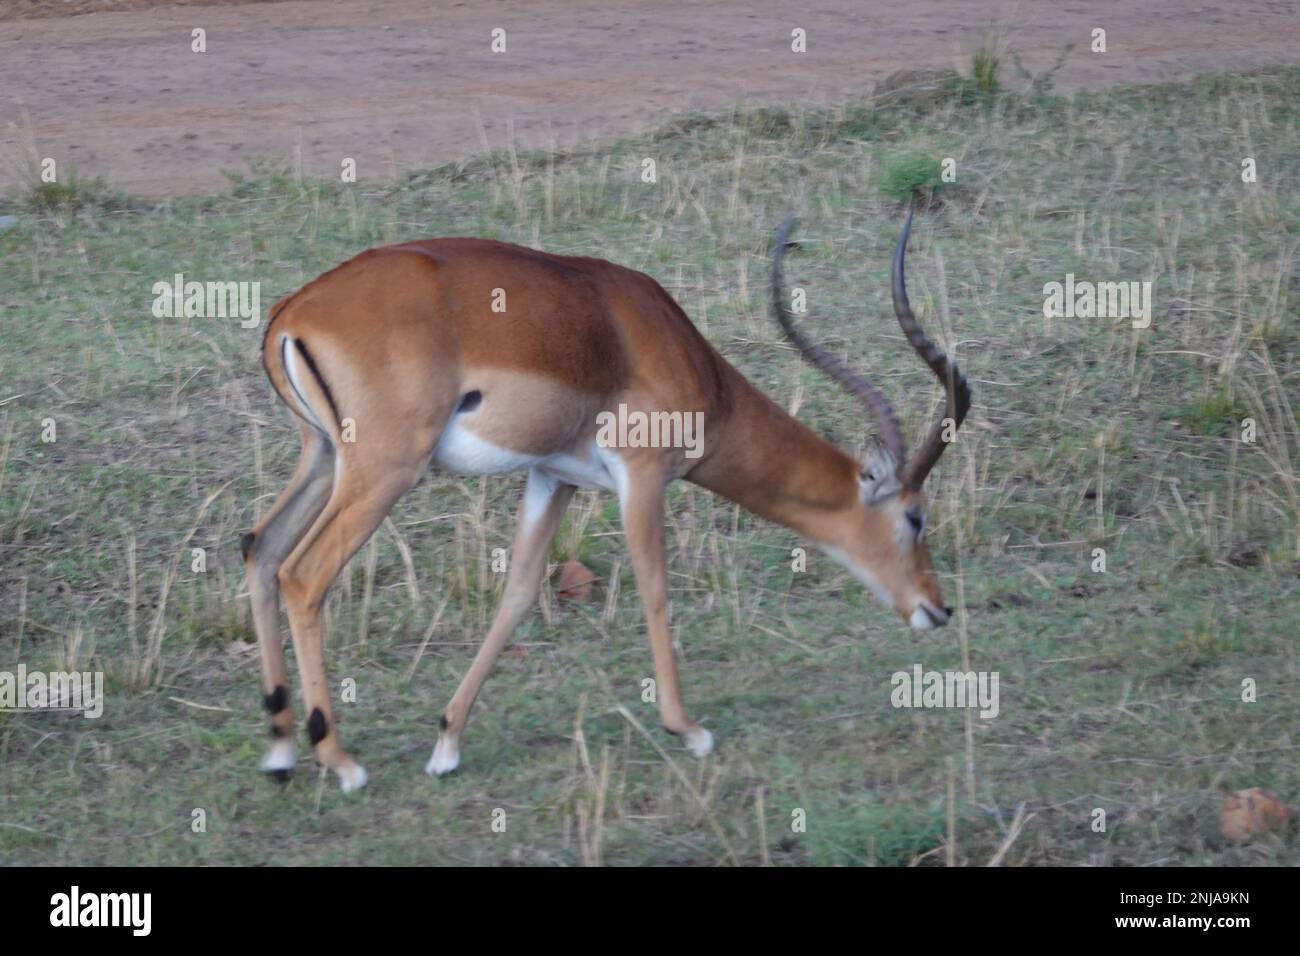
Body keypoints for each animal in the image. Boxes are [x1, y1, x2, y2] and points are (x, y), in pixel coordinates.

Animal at [241, 206, 970, 792]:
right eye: (914, 517)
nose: (938, 609)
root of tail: (292, 313)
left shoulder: (553, 476)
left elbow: (519, 592)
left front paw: (447, 742)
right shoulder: (643, 477)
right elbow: (655, 587)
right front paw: (689, 729)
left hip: (325, 459)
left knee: (260, 547)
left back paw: (279, 751)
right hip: (384, 470)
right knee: (303, 575)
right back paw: (340, 762)